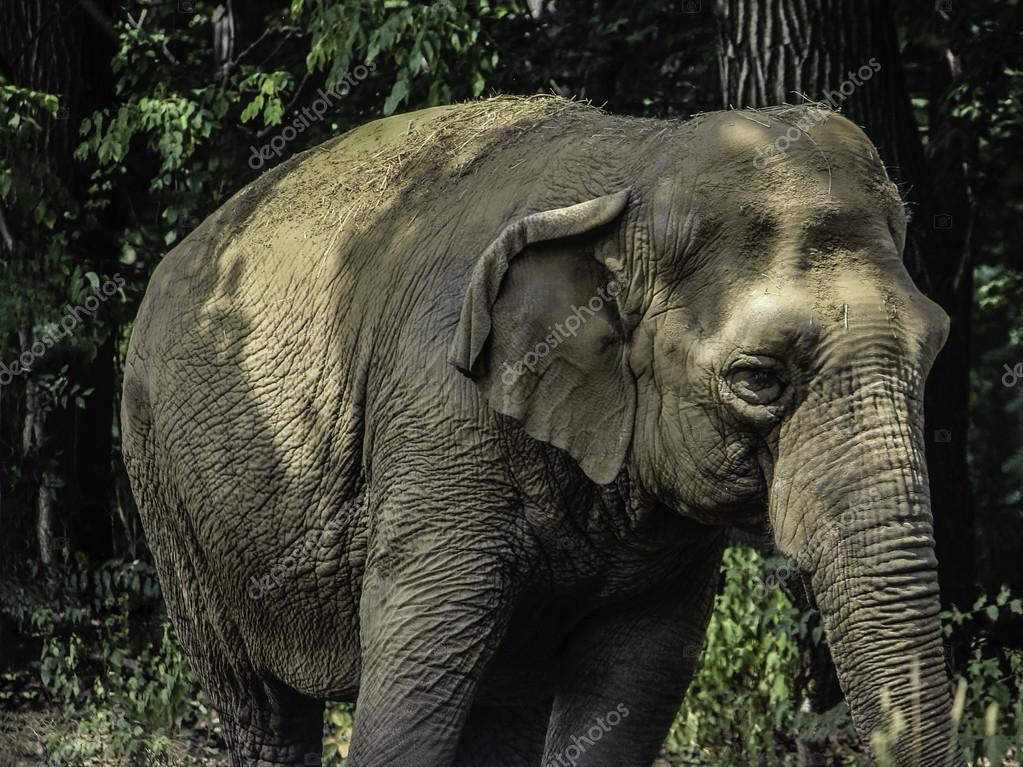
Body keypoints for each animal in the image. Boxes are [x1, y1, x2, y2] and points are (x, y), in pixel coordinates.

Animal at [121, 95, 965, 766]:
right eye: (757, 378)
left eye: (934, 350)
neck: (635, 171)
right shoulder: (436, 418)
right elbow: (418, 663)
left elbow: (636, 677)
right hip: (168, 494)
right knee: (262, 707)